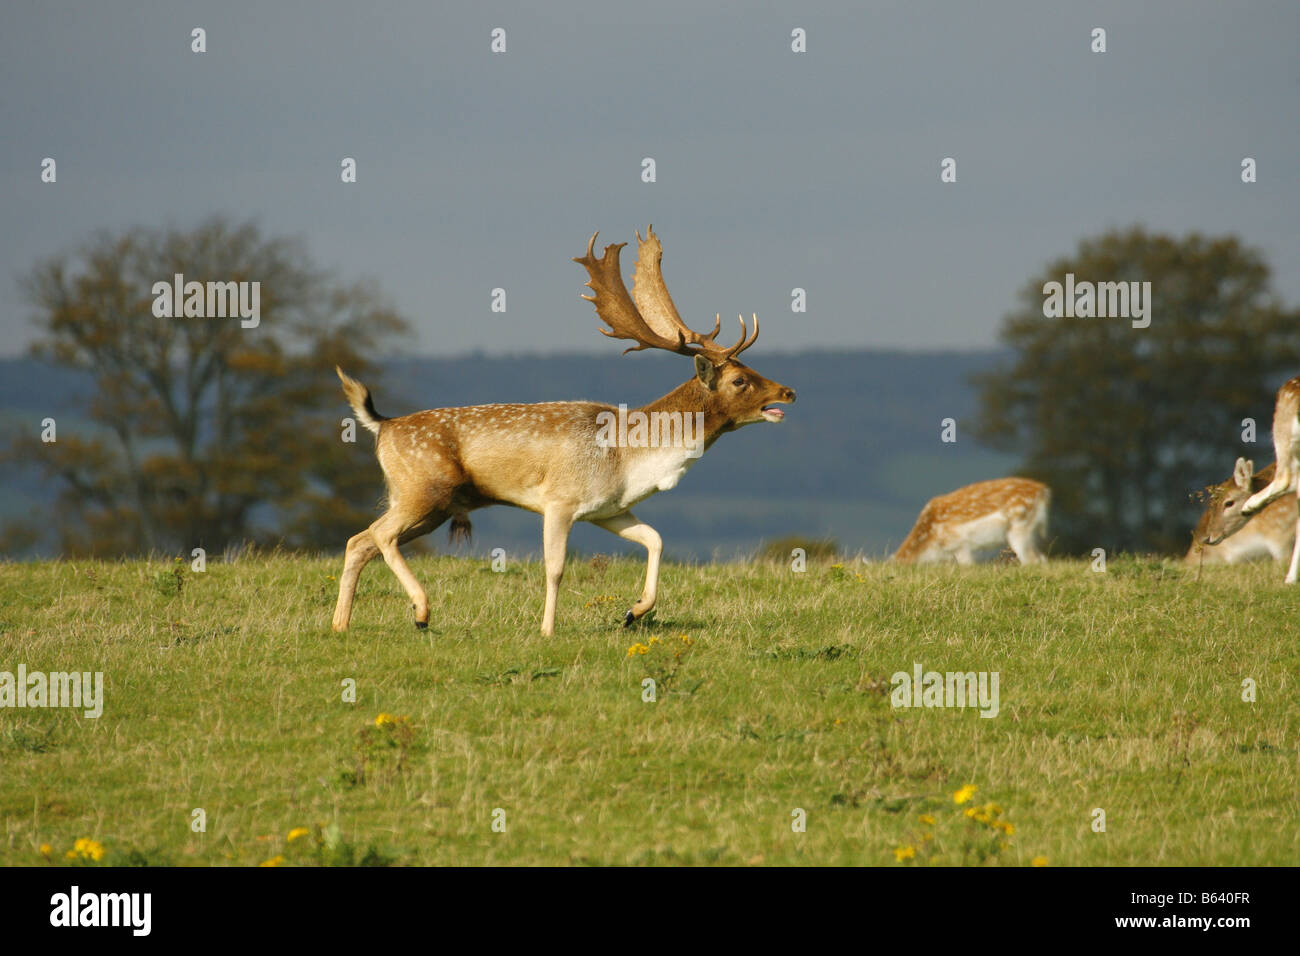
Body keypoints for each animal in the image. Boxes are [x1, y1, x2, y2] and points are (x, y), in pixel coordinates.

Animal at [331, 227, 796, 635]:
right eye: (739, 380)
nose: (788, 391)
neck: (630, 458)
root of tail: (383, 424)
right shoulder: (559, 499)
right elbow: (555, 568)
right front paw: (547, 630)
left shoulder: (608, 509)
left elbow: (655, 539)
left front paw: (634, 612)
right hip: (424, 488)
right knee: (379, 535)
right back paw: (421, 612)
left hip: (430, 504)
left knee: (359, 540)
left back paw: (340, 625)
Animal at [1198, 375, 1300, 582]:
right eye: (1211, 503)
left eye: (1228, 503)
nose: (1208, 537)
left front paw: (1290, 579)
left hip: (1282, 426)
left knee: (1285, 477)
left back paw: (1251, 504)